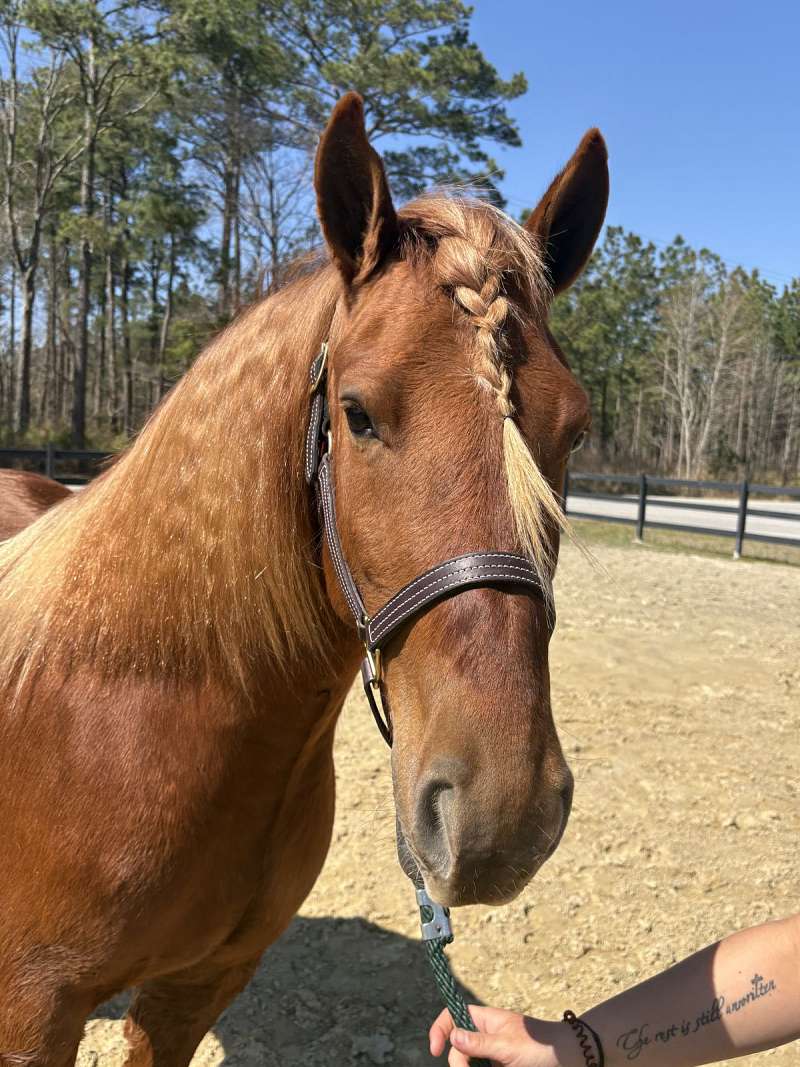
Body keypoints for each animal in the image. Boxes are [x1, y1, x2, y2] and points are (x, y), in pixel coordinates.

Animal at [0, 92, 608, 1067]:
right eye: (356, 413)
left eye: (575, 428)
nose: (501, 818)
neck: (122, 708)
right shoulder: (33, 1012)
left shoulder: (197, 987)